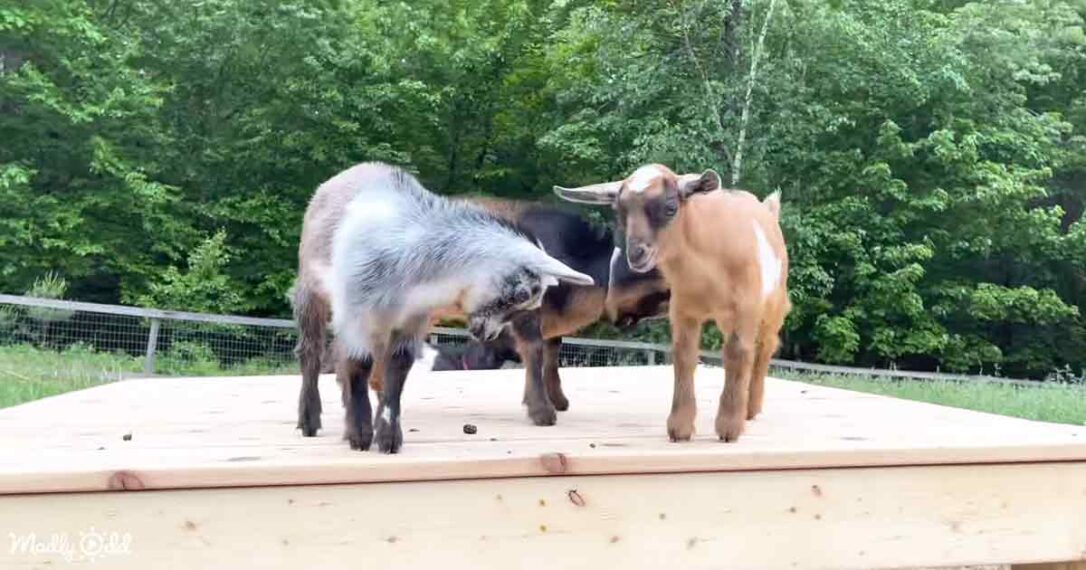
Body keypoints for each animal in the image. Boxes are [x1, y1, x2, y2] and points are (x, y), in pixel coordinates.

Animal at [293, 162, 594, 453]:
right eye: (515, 297)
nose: (487, 335)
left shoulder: (412, 319)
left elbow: (398, 367)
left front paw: (388, 436)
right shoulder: (356, 308)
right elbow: (358, 364)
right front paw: (360, 435)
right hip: (311, 286)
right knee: (312, 350)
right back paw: (310, 419)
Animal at [555, 164, 790, 442]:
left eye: (670, 207)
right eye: (621, 211)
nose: (637, 254)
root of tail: (767, 210)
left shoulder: (745, 306)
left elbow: (738, 353)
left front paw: (729, 428)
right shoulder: (683, 309)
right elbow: (684, 356)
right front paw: (680, 428)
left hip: (772, 304)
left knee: (765, 346)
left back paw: (751, 409)